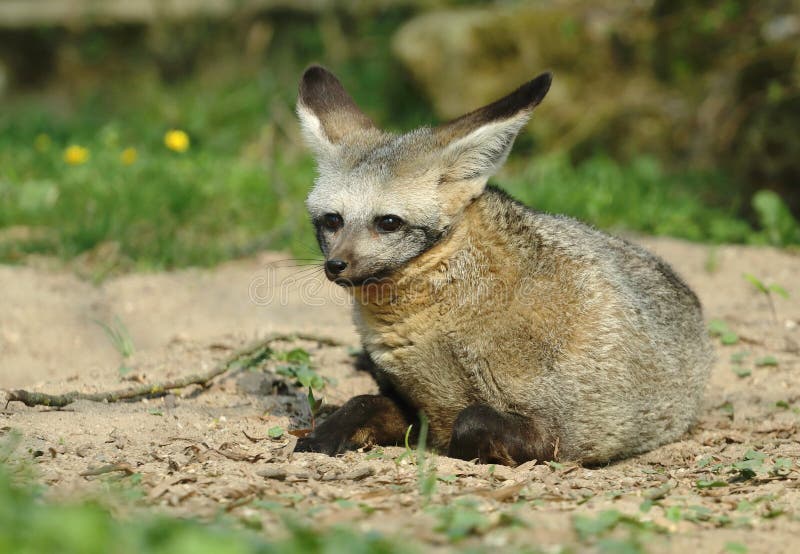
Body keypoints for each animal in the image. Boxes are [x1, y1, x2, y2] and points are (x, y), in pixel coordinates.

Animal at [292, 65, 713, 465]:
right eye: (333, 220)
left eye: (388, 223)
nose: (335, 265)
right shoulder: (417, 407)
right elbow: (360, 402)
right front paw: (322, 436)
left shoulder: (560, 434)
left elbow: (469, 421)